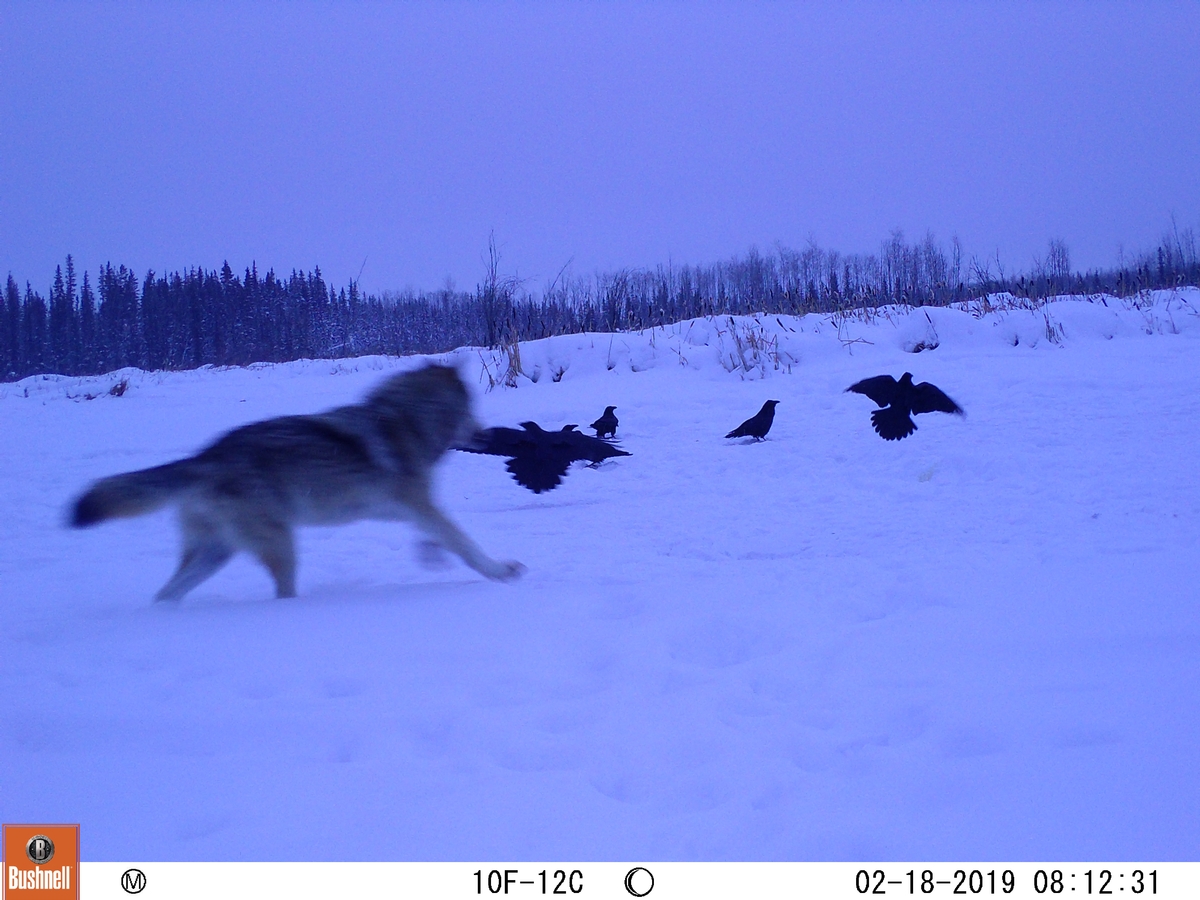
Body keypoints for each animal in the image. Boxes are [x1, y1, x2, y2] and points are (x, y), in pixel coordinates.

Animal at [70, 364, 524, 601]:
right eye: (472, 408)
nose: (488, 436)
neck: (410, 422)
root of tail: (206, 457)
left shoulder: (411, 512)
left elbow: (440, 542)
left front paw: (435, 559)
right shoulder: (421, 507)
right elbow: (466, 545)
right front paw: (500, 570)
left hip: (216, 552)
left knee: (167, 595)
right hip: (280, 545)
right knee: (281, 592)